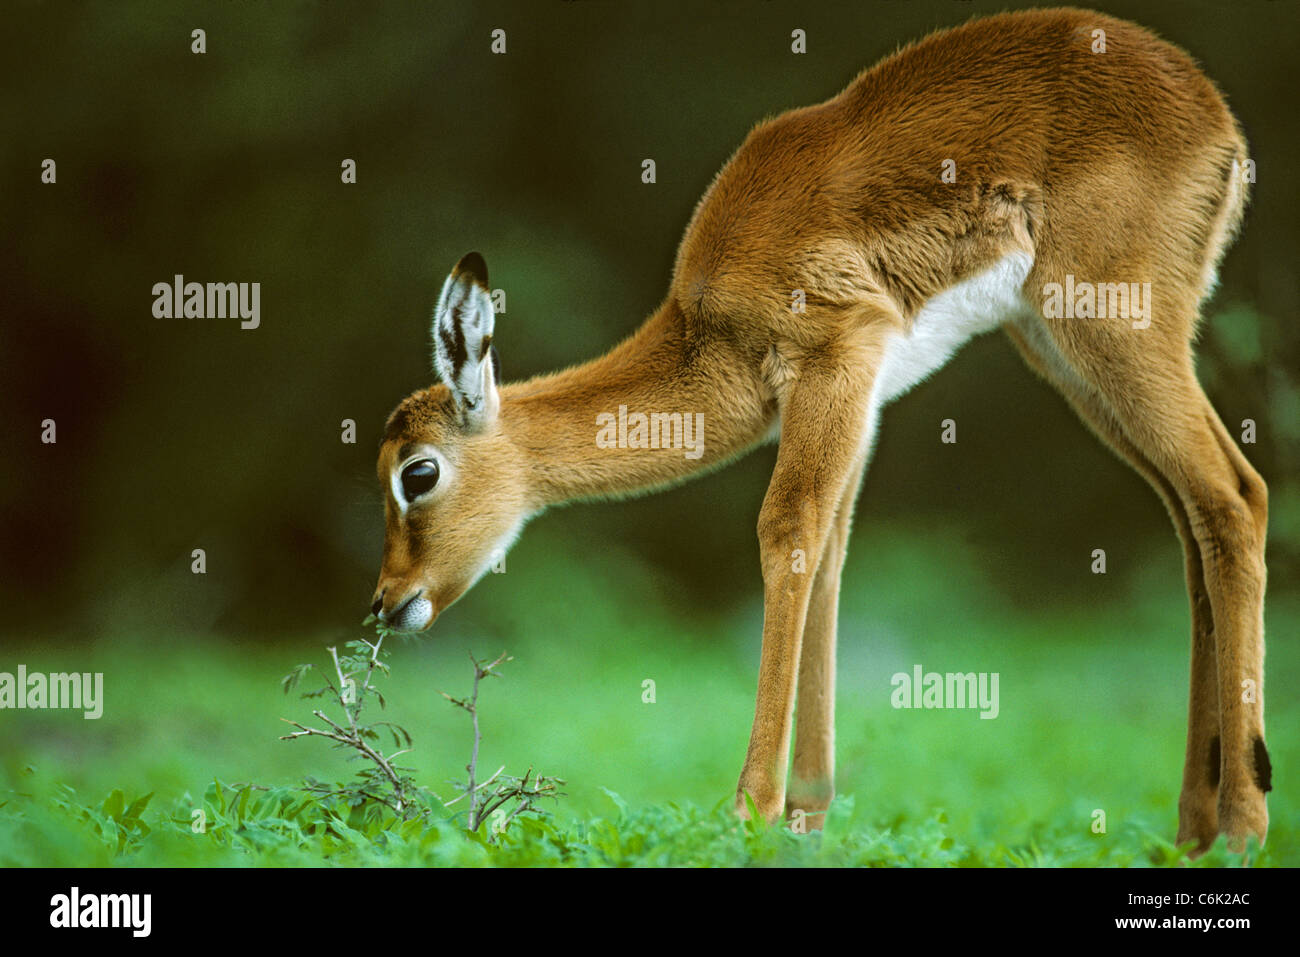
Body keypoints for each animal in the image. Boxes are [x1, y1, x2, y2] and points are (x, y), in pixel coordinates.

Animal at [371, 7, 1270, 854]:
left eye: (418, 472)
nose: (388, 602)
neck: (706, 320)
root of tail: (1215, 114)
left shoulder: (833, 359)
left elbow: (787, 531)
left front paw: (751, 811)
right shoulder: (859, 397)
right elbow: (831, 554)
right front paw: (806, 816)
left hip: (1116, 333)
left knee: (1236, 496)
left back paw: (1244, 823)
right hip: (1063, 355)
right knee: (1194, 525)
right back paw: (1193, 827)